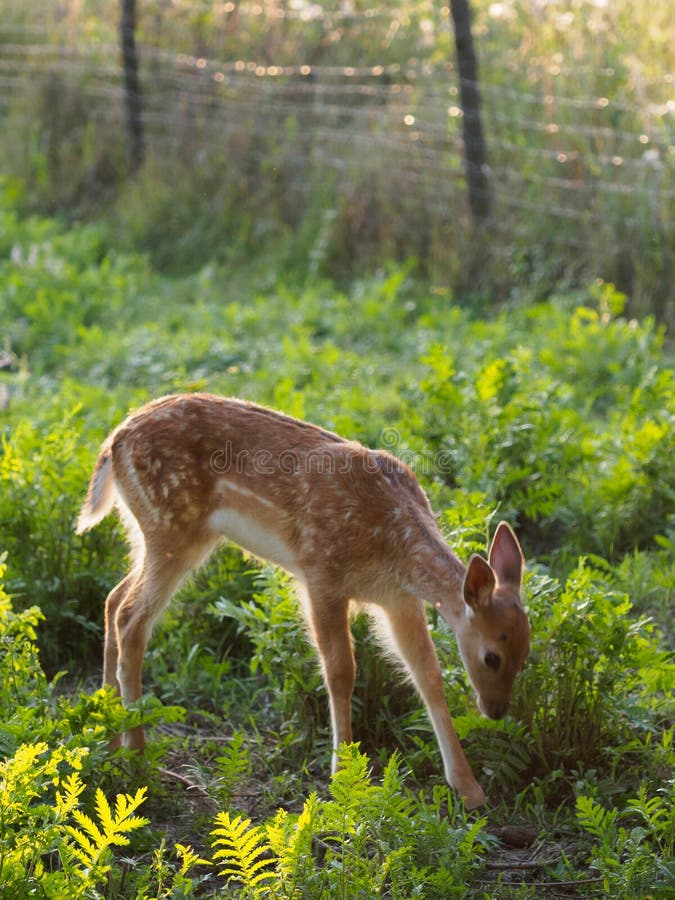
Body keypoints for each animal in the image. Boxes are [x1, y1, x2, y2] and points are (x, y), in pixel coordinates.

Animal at [76, 393, 530, 809]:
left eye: (526, 654)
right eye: (492, 656)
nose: (496, 710)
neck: (393, 546)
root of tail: (113, 442)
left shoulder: (397, 601)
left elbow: (428, 675)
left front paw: (470, 791)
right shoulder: (321, 574)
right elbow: (341, 672)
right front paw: (343, 775)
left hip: (154, 532)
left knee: (113, 599)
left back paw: (108, 733)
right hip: (172, 526)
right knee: (131, 617)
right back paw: (136, 751)